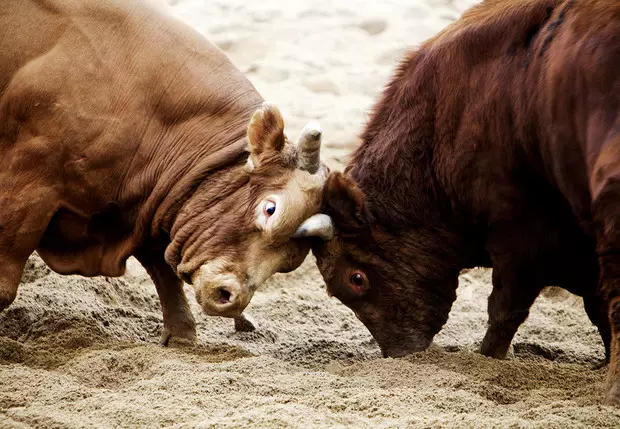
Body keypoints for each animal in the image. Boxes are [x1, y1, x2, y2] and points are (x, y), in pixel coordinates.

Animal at [0, 0, 334, 342]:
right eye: (270, 209)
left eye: (289, 260)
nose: (230, 297)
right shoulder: (29, 177)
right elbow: (4, 284)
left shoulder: (147, 202)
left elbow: (160, 262)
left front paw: (181, 335)